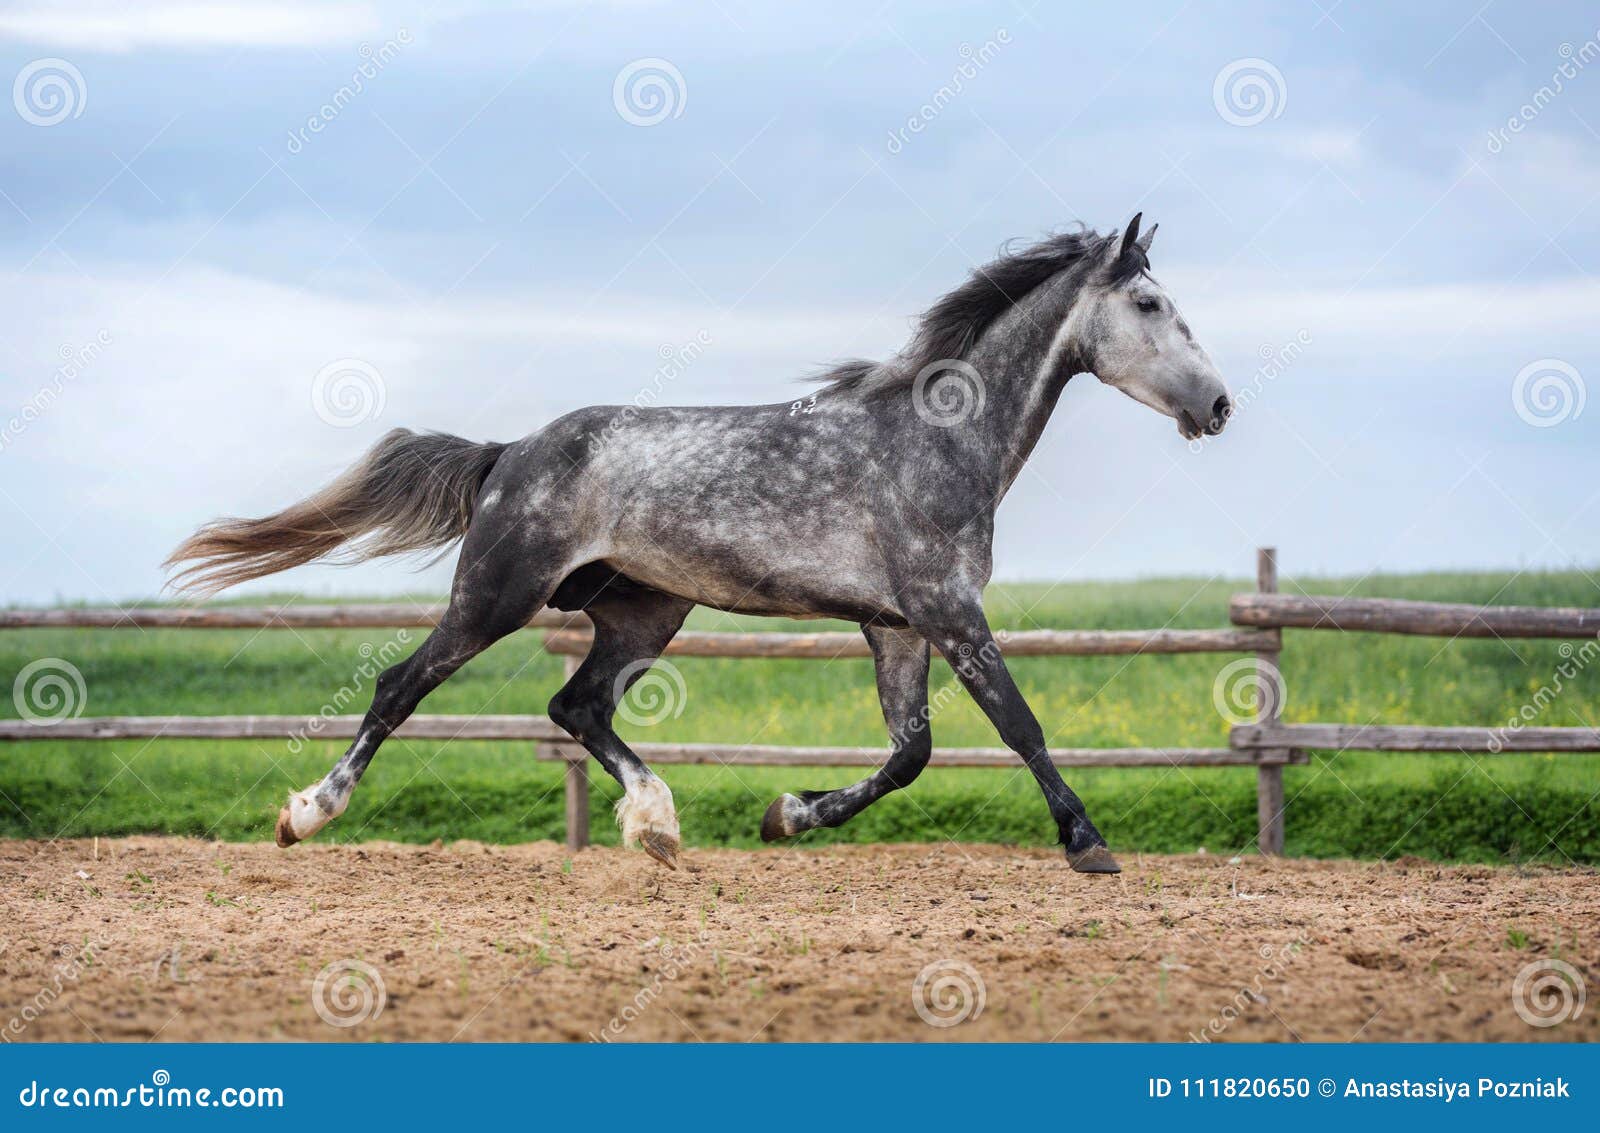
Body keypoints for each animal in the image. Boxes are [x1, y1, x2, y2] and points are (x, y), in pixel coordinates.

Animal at [166, 213, 1230, 875]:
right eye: (1148, 306)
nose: (1219, 405)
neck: (932, 443)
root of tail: (512, 451)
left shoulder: (897, 625)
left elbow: (912, 753)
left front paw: (785, 815)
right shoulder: (947, 611)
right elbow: (1019, 724)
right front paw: (1088, 843)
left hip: (643, 613)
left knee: (576, 705)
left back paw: (659, 825)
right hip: (498, 596)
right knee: (401, 687)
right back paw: (306, 814)